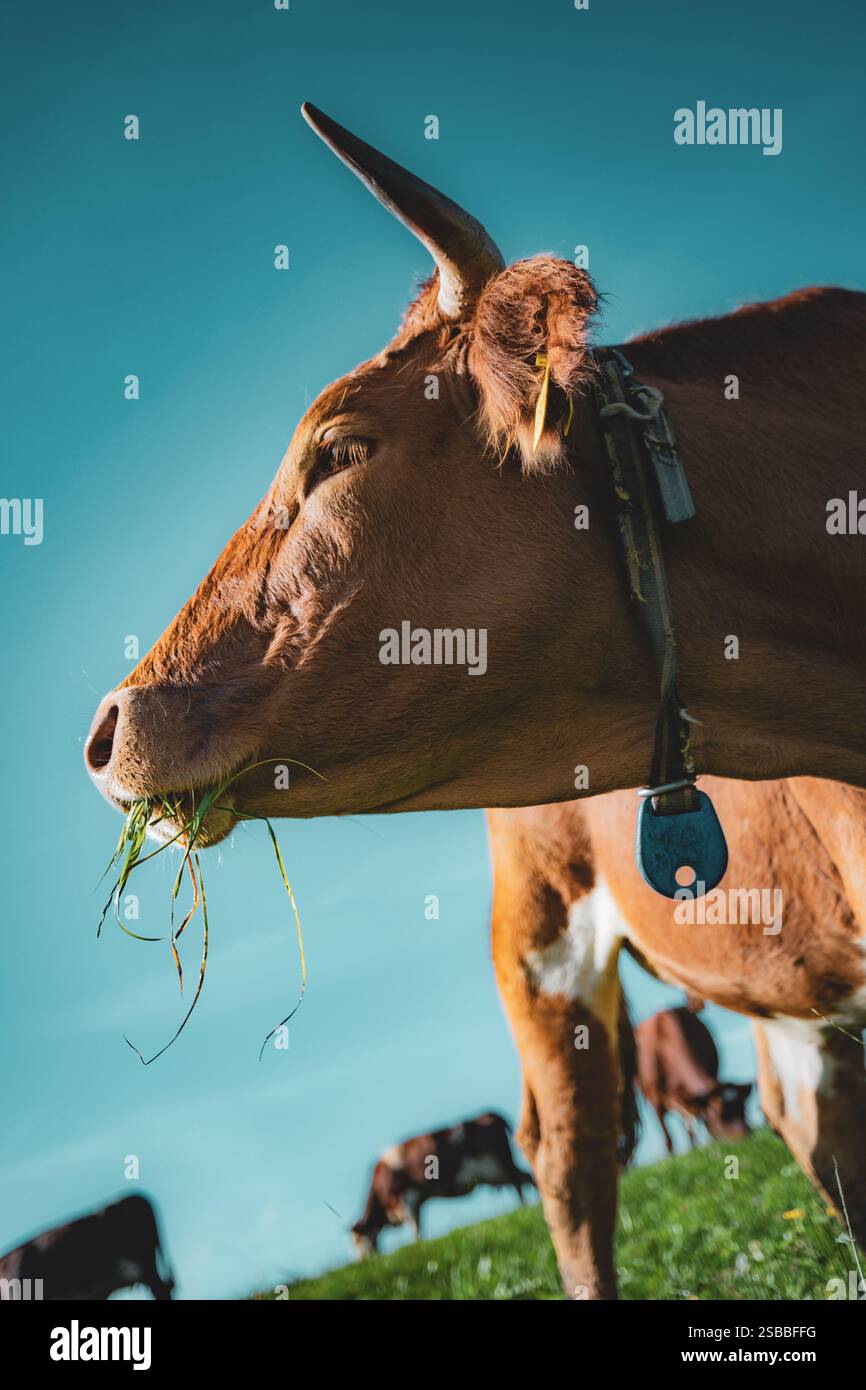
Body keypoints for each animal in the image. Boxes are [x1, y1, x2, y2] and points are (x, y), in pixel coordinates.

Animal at [351, 1113, 534, 1257]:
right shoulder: (416, 1202)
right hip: (497, 1172)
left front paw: (417, 1246)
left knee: (524, 1179)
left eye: (357, 1239)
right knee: (522, 1180)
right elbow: (419, 1225)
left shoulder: (406, 1199)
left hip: (497, 1166)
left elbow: (414, 1227)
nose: (361, 1260)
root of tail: (488, 1114)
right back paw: (525, 1206)